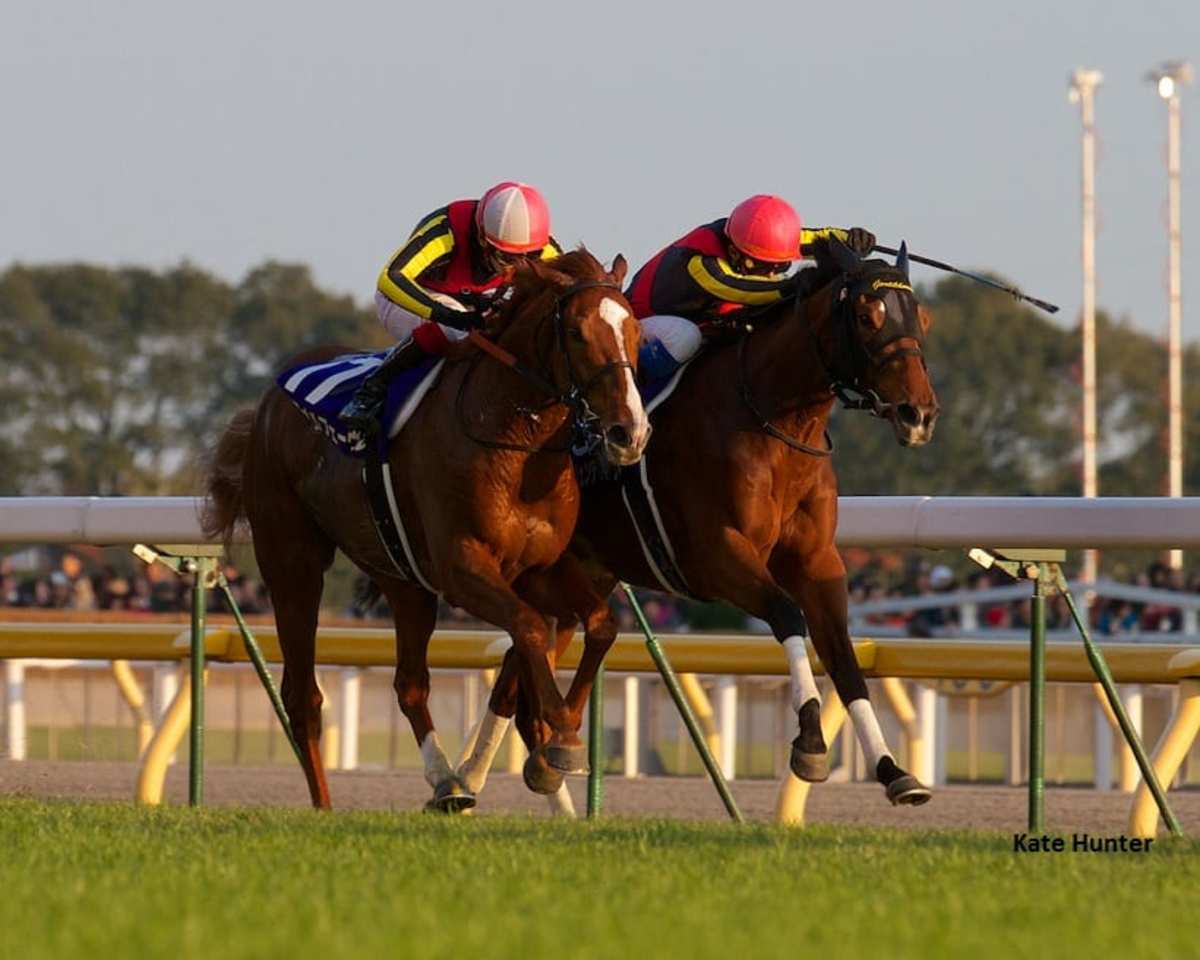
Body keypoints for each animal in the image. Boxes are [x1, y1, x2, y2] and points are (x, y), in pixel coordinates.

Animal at [202, 249, 649, 812]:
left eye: (635, 330)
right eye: (575, 331)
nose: (628, 432)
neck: (514, 442)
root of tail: (266, 402)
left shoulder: (540, 569)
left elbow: (601, 625)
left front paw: (553, 745)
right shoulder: (462, 568)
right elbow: (527, 626)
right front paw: (562, 741)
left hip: (401, 576)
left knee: (409, 683)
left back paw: (446, 782)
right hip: (292, 560)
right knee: (302, 695)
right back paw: (325, 807)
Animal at [458, 242, 941, 808]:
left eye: (921, 319)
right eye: (868, 316)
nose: (918, 414)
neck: (771, 421)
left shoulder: (817, 561)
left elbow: (843, 652)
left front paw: (894, 771)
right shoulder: (717, 556)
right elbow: (787, 613)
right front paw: (810, 740)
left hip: (571, 574)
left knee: (520, 660)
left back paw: (518, 762)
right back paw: (477, 774)